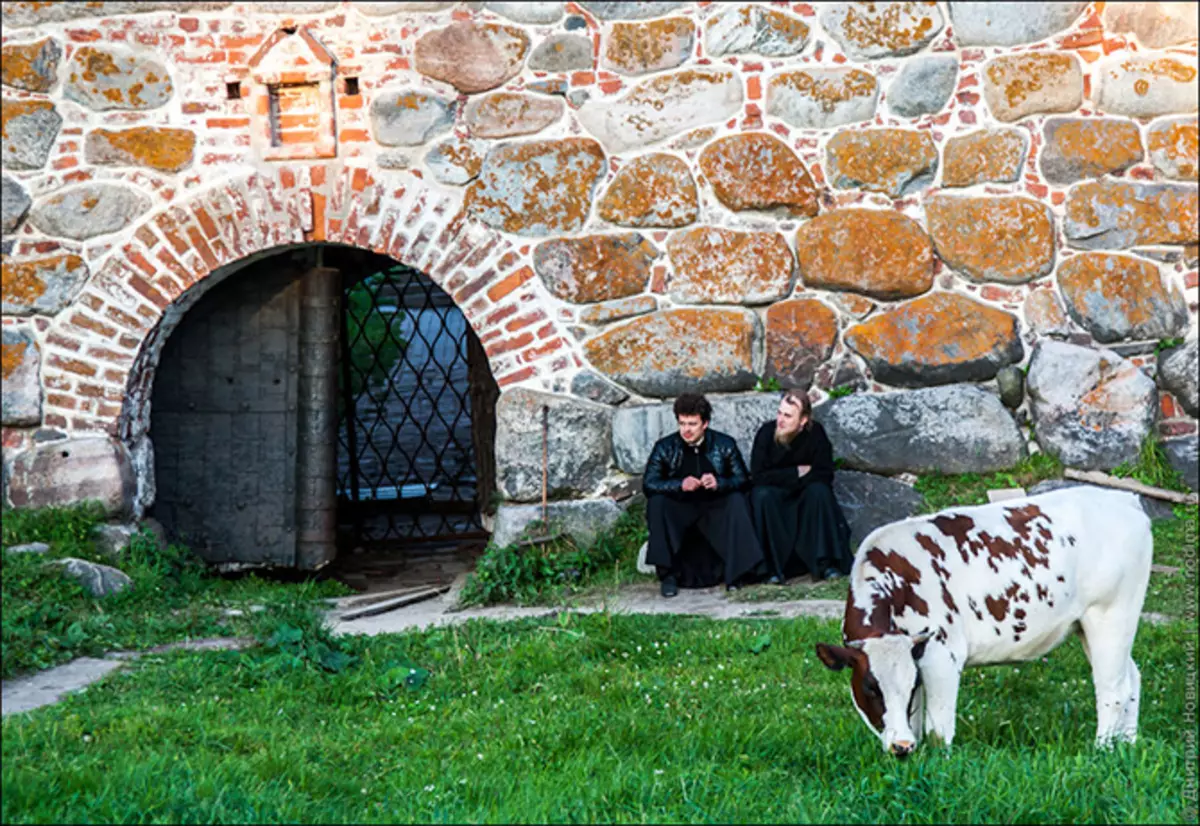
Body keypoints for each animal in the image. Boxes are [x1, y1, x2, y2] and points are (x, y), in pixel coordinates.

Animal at [816, 487, 1152, 758]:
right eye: (871, 687)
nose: (901, 746)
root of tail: (1124, 499)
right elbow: (916, 720)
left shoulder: (942, 656)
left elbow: (938, 730)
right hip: (1094, 625)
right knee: (1131, 676)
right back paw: (1128, 744)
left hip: (1110, 614)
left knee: (1112, 689)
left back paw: (1103, 750)